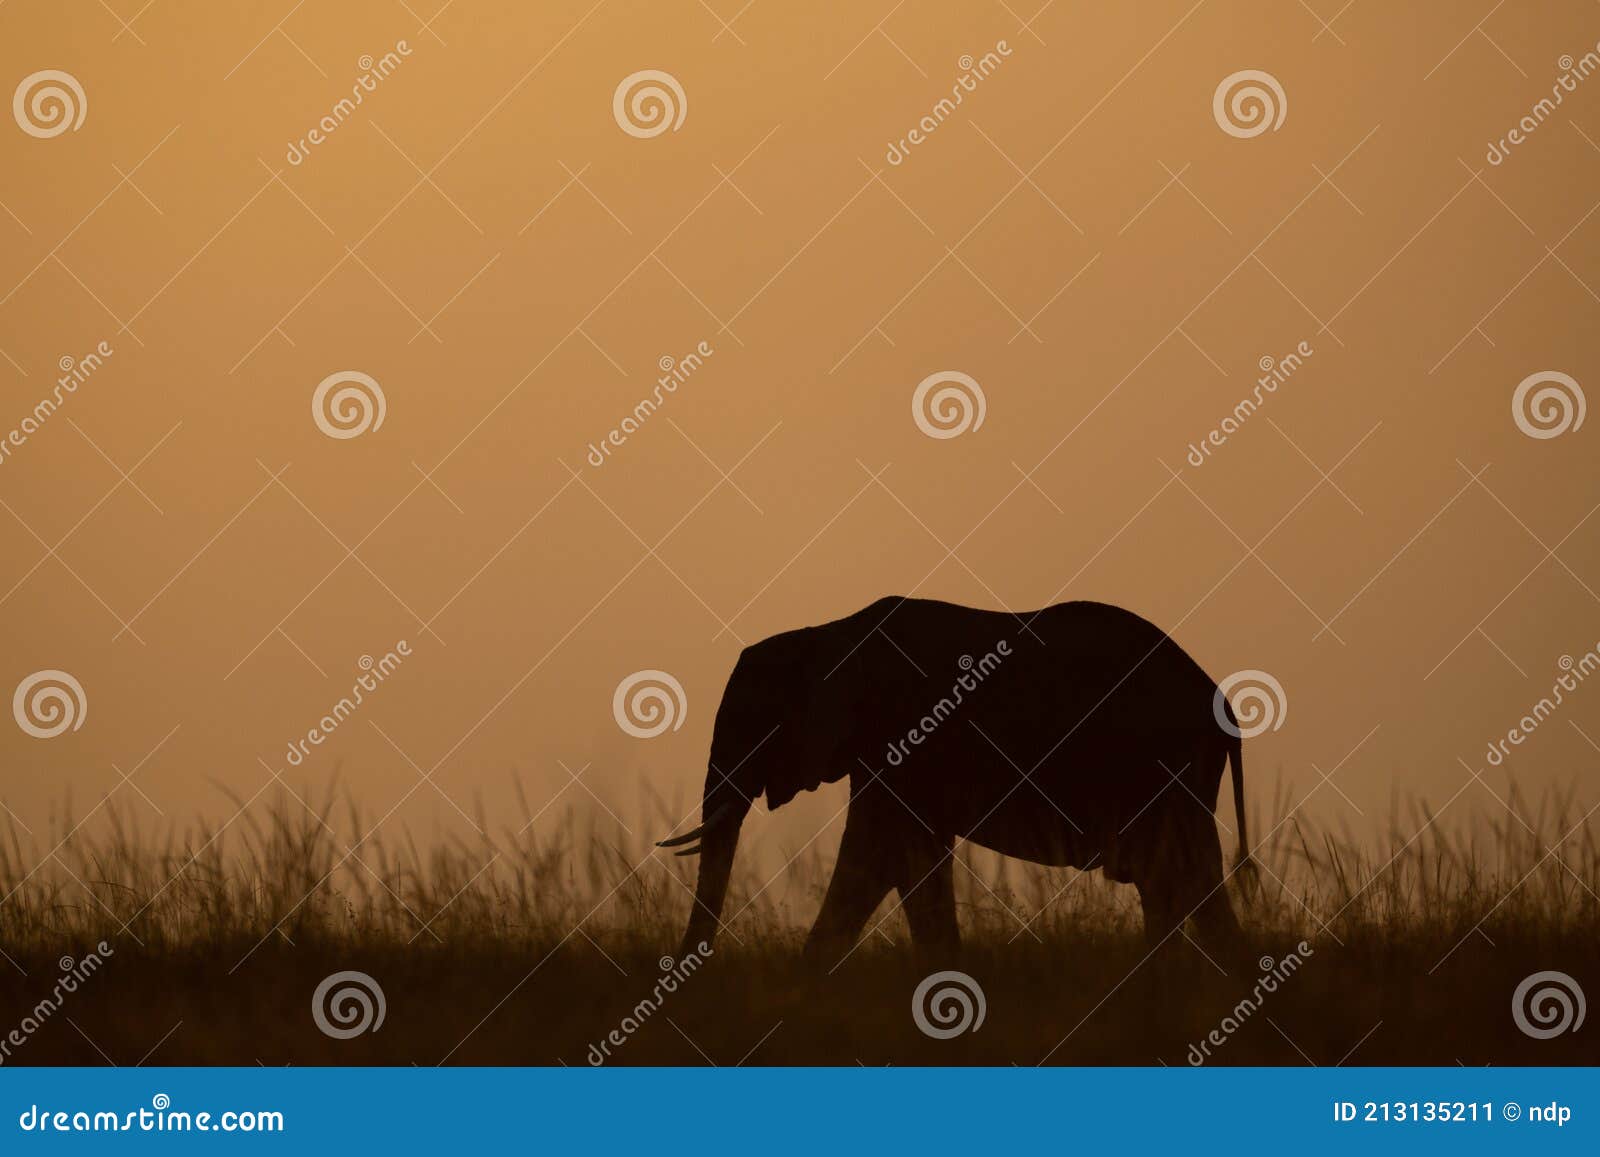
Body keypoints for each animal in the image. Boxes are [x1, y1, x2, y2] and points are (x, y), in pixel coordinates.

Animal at [658, 596, 1253, 967]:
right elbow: (896, 862)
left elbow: (881, 856)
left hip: (1165, 767)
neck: (831, 635)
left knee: (1182, 876)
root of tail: (1222, 702)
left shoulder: (904, 738)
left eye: (755, 723)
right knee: (1174, 882)